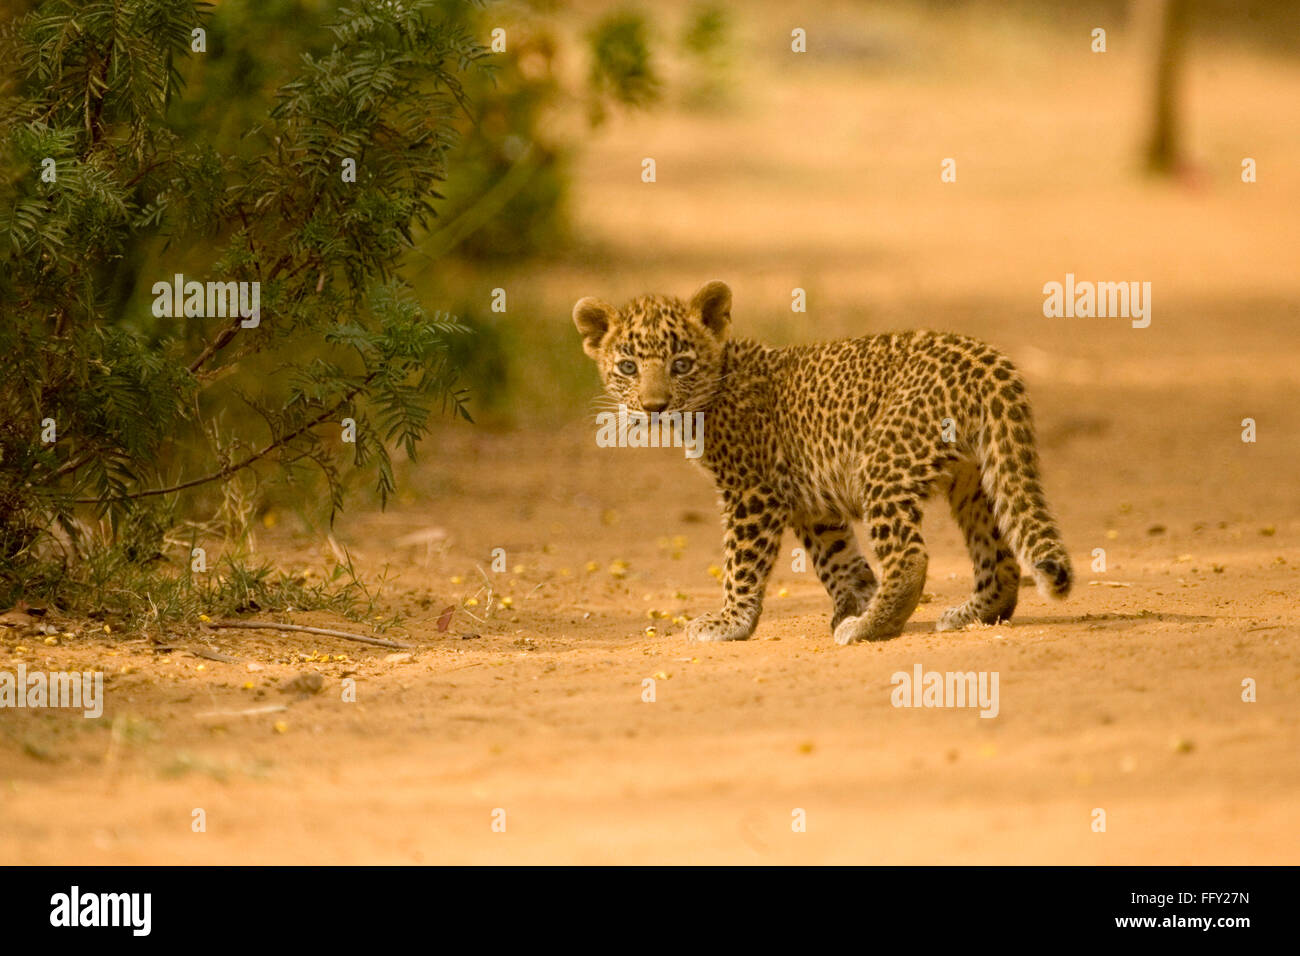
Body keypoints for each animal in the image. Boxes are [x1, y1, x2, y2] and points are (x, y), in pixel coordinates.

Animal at [572, 280, 1072, 644]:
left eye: (681, 364)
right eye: (628, 367)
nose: (654, 407)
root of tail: (986, 359)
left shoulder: (752, 494)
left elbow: (741, 564)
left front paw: (729, 622)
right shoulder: (811, 504)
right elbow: (840, 562)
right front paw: (853, 603)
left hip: (884, 459)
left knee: (910, 556)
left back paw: (871, 628)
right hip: (974, 477)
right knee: (1000, 557)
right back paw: (968, 614)